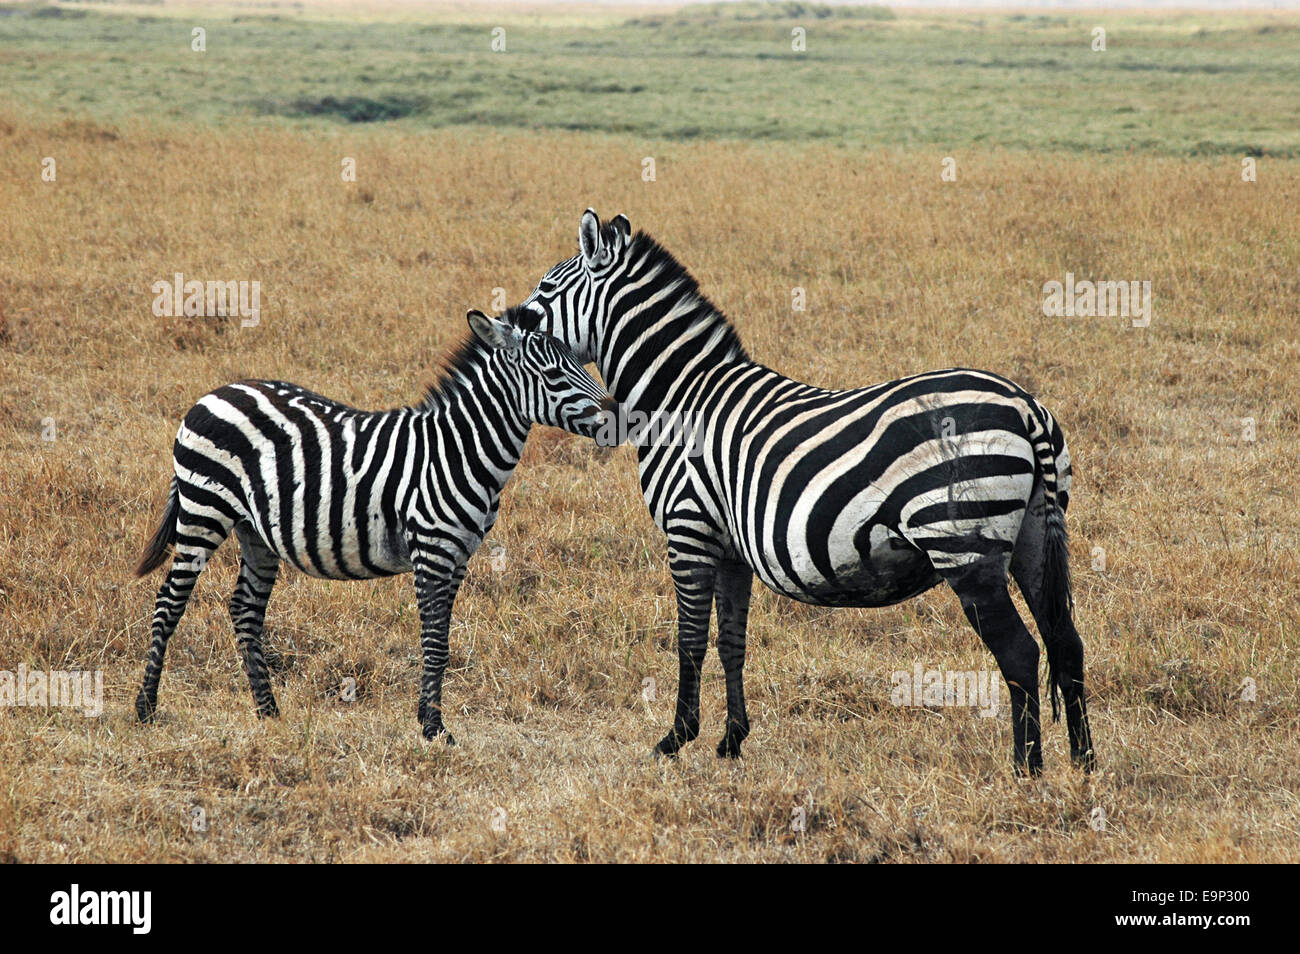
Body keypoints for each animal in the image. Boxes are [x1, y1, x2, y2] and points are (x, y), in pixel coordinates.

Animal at [133, 309, 615, 743]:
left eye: (581, 362)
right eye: (554, 374)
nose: (615, 418)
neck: (459, 449)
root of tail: (214, 393)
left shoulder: (459, 555)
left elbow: (441, 641)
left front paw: (429, 721)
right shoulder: (432, 548)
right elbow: (435, 641)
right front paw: (434, 729)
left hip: (255, 533)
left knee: (245, 610)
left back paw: (269, 713)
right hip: (203, 511)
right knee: (169, 602)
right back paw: (146, 708)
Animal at [512, 209, 1095, 774]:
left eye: (544, 290)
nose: (503, 324)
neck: (678, 398)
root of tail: (1025, 406)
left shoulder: (688, 530)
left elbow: (689, 639)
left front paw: (676, 739)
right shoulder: (730, 548)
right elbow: (731, 641)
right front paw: (732, 741)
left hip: (963, 548)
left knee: (1019, 652)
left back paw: (1026, 770)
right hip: (1033, 537)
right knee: (1066, 641)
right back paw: (1083, 764)